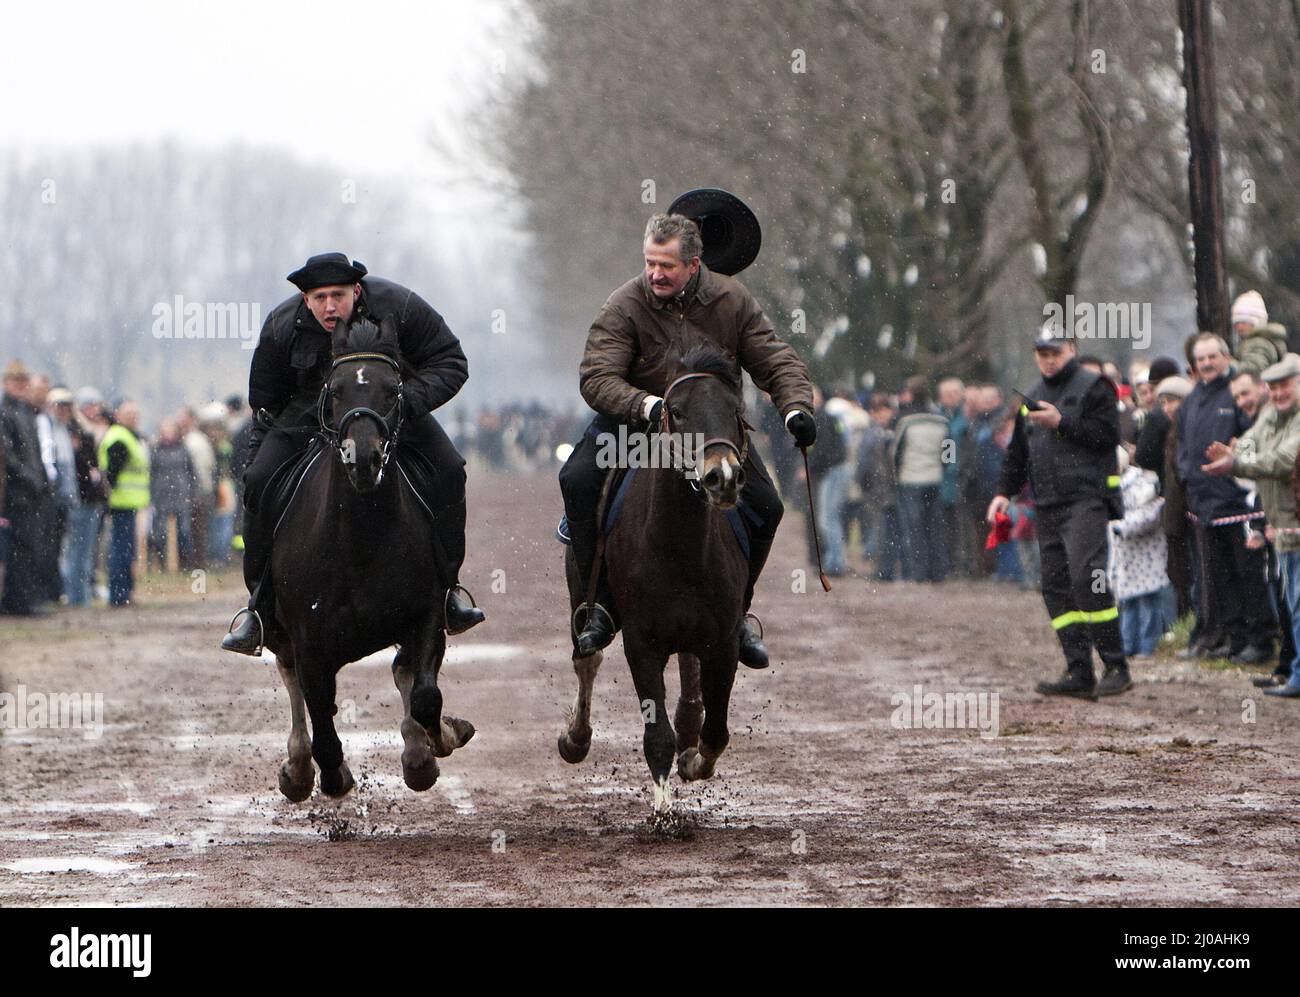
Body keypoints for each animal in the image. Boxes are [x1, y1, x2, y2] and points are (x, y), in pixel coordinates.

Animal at [266, 315, 474, 801]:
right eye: (335, 389)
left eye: (393, 390)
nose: (363, 457)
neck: (360, 540)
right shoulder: (308, 640)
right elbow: (321, 722)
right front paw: (331, 774)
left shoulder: (426, 614)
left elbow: (426, 697)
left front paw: (437, 743)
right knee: (294, 681)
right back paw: (298, 769)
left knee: (405, 673)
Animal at [558, 342, 753, 814]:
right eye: (677, 411)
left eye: (735, 409)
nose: (722, 476)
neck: (679, 546)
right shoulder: (642, 642)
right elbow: (657, 734)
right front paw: (664, 812)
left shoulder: (722, 639)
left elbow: (716, 731)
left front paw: (694, 760)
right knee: (586, 658)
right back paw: (576, 737)